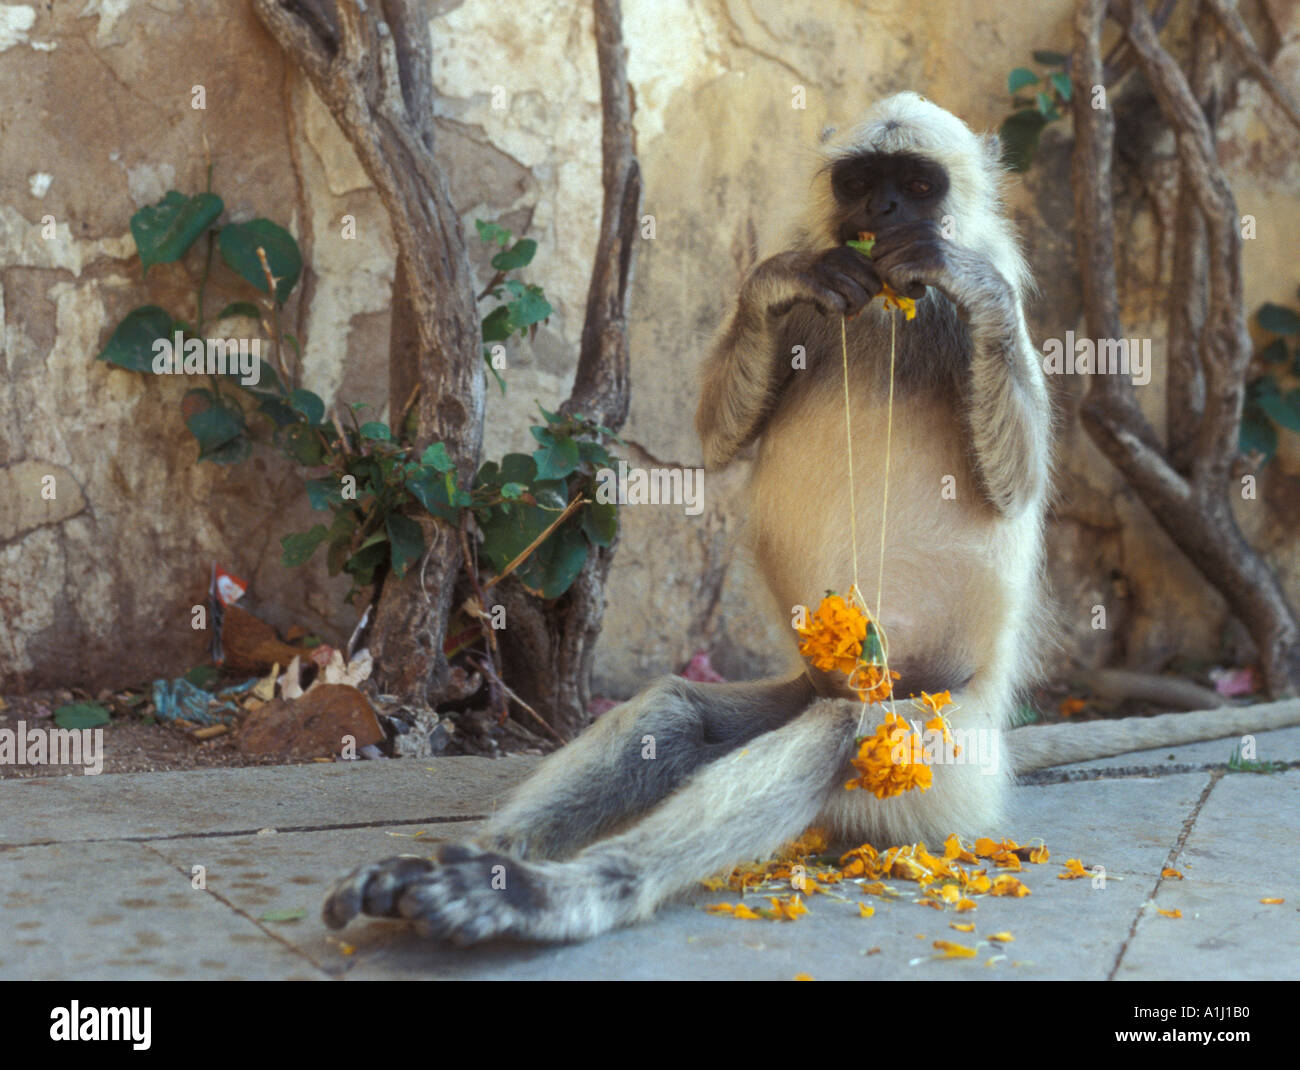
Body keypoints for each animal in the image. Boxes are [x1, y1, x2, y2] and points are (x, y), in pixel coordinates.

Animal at [320, 92, 1300, 946]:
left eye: (918, 183)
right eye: (864, 179)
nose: (884, 209)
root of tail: (993, 738)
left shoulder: (999, 297)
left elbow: (1016, 482)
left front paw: (959, 277)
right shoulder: (823, 293)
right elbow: (720, 432)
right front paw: (779, 280)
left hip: (935, 754)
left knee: (844, 733)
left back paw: (549, 894)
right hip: (827, 690)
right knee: (678, 710)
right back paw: (481, 864)